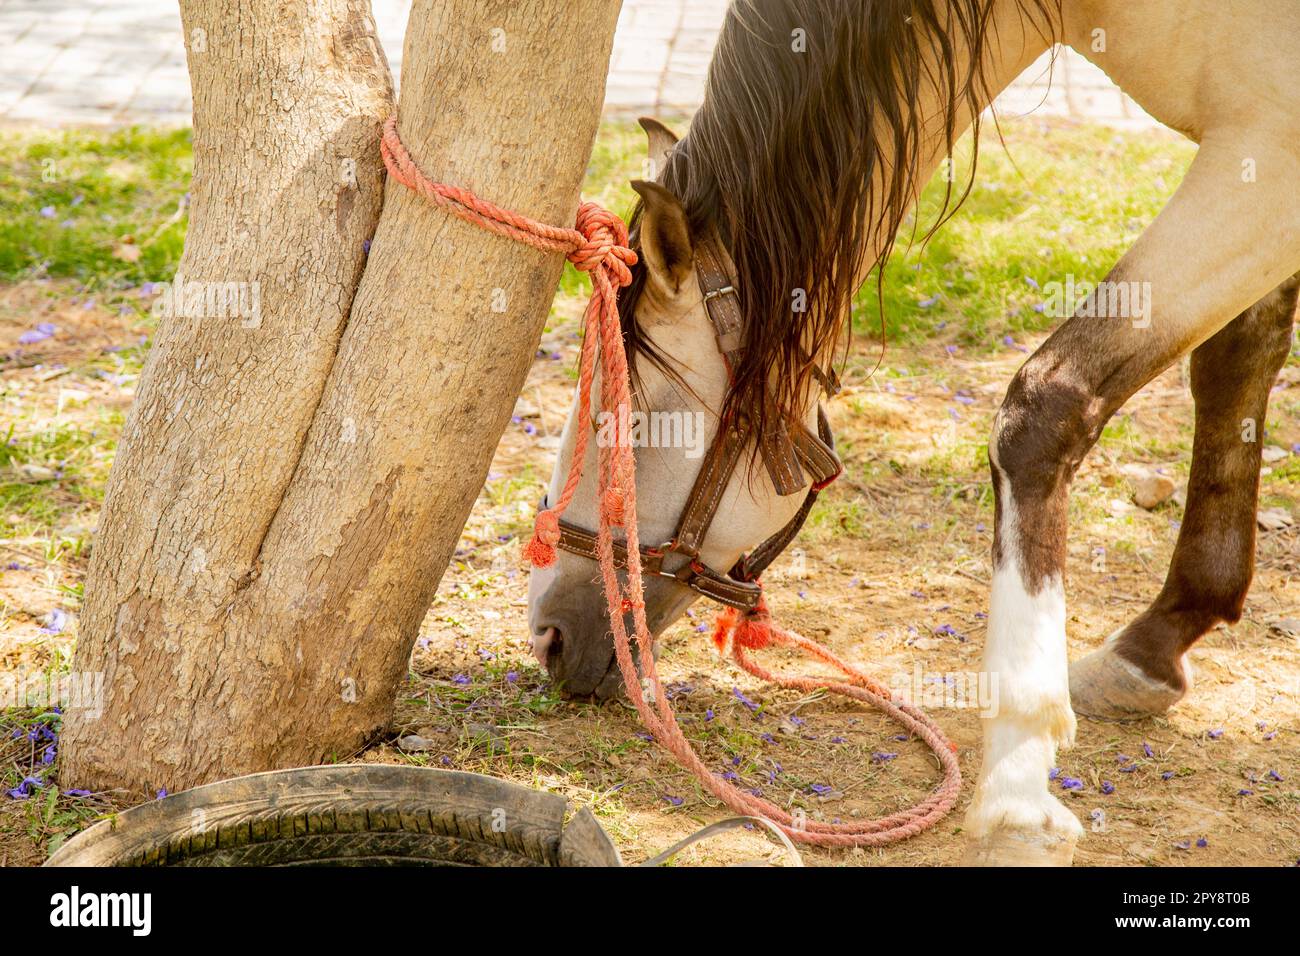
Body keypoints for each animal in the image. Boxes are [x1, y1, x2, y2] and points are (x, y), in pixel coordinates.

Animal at [526, 0, 1300, 865]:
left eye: (630, 414)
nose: (547, 633)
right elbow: (1236, 362)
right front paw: (1163, 636)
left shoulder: (1268, 150)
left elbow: (1047, 407)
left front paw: (1018, 789)